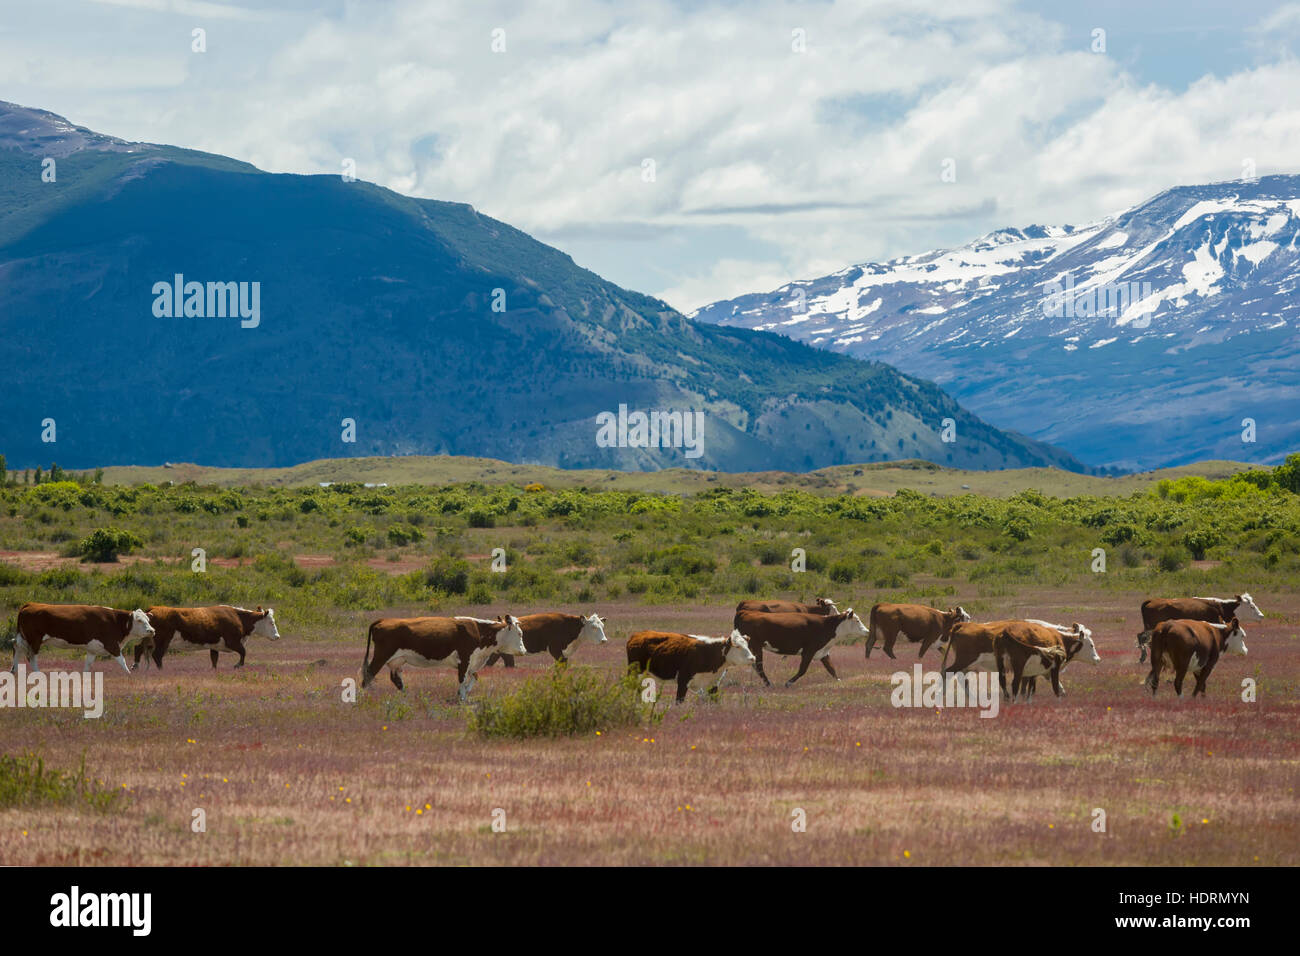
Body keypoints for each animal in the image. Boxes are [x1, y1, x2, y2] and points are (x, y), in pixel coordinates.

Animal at [12, 602, 155, 674]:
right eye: (139, 620)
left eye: (148, 620)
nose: (152, 631)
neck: (114, 621)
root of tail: (30, 604)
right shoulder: (112, 645)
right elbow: (122, 661)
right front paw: (129, 674)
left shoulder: (92, 649)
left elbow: (88, 664)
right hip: (34, 640)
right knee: (31, 657)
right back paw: (37, 673)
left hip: (23, 637)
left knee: (17, 648)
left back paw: (13, 670)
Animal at [132, 605, 280, 670]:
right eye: (271, 622)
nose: (277, 636)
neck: (238, 617)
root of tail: (153, 609)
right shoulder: (233, 642)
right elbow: (243, 652)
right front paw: (237, 665)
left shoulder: (215, 646)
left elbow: (214, 660)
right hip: (162, 641)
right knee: (157, 655)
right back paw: (161, 670)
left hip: (147, 638)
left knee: (138, 649)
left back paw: (135, 667)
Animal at [360, 614, 526, 701]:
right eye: (519, 633)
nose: (524, 651)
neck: (479, 631)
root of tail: (383, 620)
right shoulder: (464, 659)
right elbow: (462, 679)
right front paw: (462, 697)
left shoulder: (472, 662)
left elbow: (474, 676)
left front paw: (464, 692)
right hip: (381, 656)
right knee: (368, 674)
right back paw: (363, 697)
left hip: (397, 661)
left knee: (396, 679)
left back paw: (407, 697)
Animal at [626, 629, 755, 703]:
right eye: (737, 646)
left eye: (747, 645)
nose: (752, 658)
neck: (708, 652)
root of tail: (636, 636)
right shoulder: (683, 681)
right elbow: (679, 701)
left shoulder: (714, 683)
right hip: (634, 672)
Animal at [733, 608, 868, 686]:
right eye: (857, 620)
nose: (867, 631)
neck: (826, 626)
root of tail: (745, 612)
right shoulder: (809, 651)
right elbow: (803, 670)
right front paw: (788, 682)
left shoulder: (823, 652)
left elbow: (831, 669)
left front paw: (839, 681)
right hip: (756, 646)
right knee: (759, 666)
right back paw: (768, 683)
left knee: (755, 665)